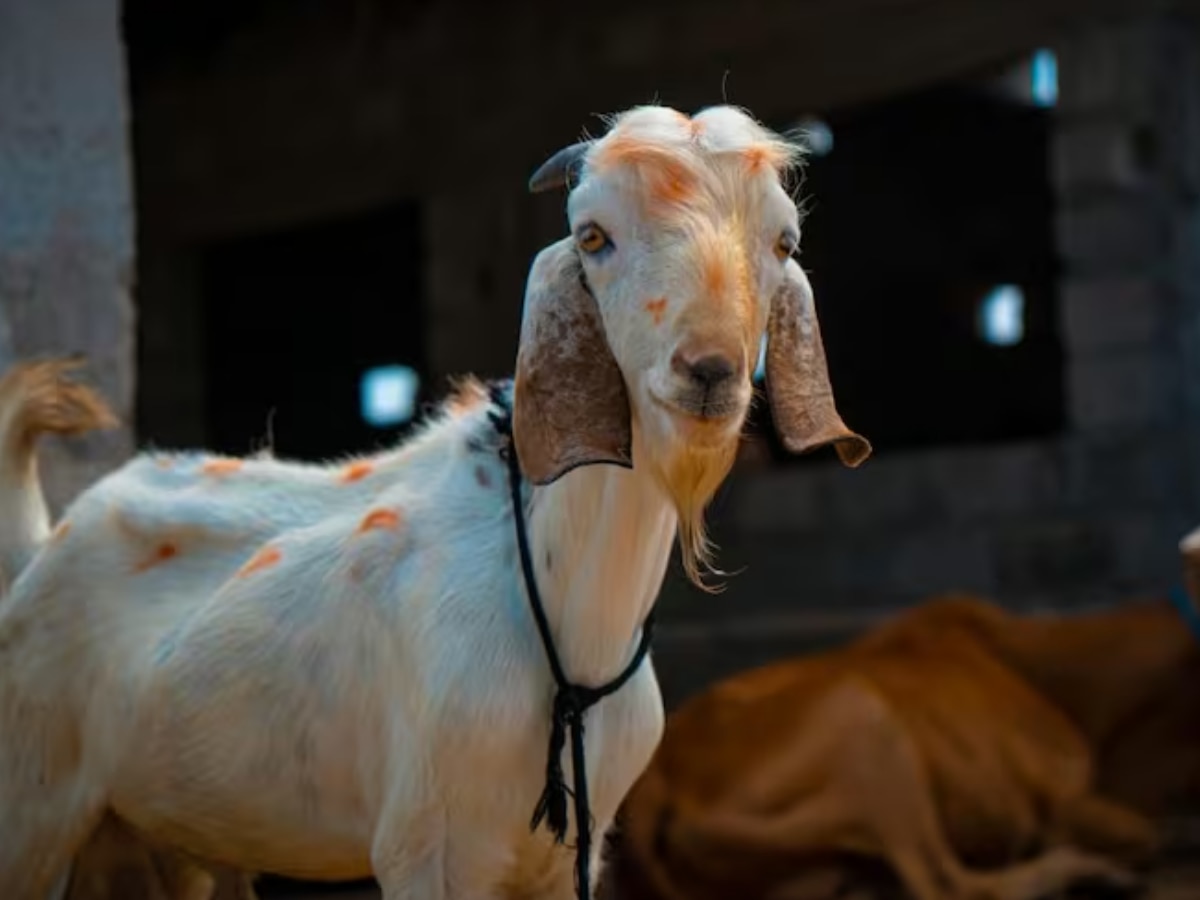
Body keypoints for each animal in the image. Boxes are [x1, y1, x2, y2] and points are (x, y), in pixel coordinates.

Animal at [0, 103, 868, 899]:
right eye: (593, 236)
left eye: (783, 243)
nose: (708, 371)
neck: (572, 626)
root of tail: (47, 542)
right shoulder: (427, 849)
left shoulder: (574, 857)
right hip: (34, 804)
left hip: (176, 835)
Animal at [613, 572, 1200, 900]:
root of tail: (659, 778)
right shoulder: (1062, 800)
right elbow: (1143, 833)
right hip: (866, 723)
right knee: (950, 887)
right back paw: (1087, 872)